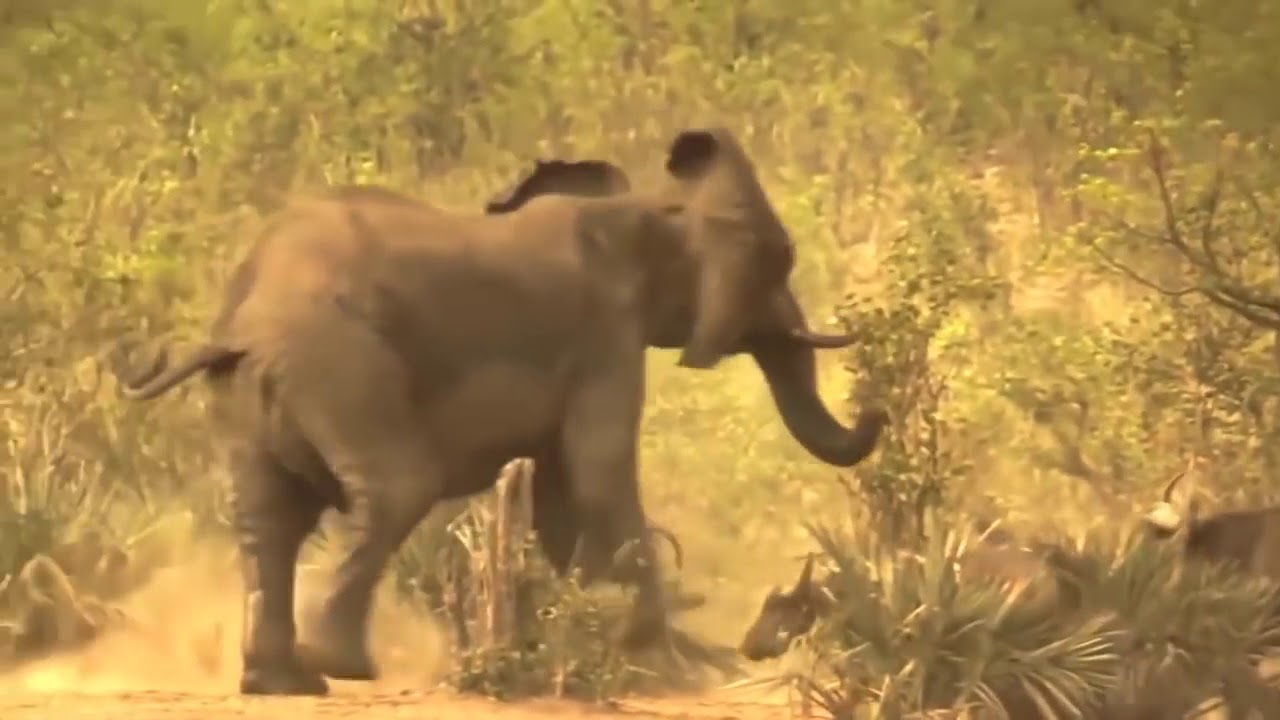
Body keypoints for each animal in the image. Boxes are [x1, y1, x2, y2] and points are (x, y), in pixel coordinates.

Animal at [112, 126, 889, 697]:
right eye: (779, 259)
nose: (879, 411)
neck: (640, 210)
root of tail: (241, 323)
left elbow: (562, 500)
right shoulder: (603, 333)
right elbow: (599, 477)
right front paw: (672, 669)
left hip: (248, 395)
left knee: (267, 520)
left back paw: (285, 684)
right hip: (339, 365)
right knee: (395, 488)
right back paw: (343, 668)